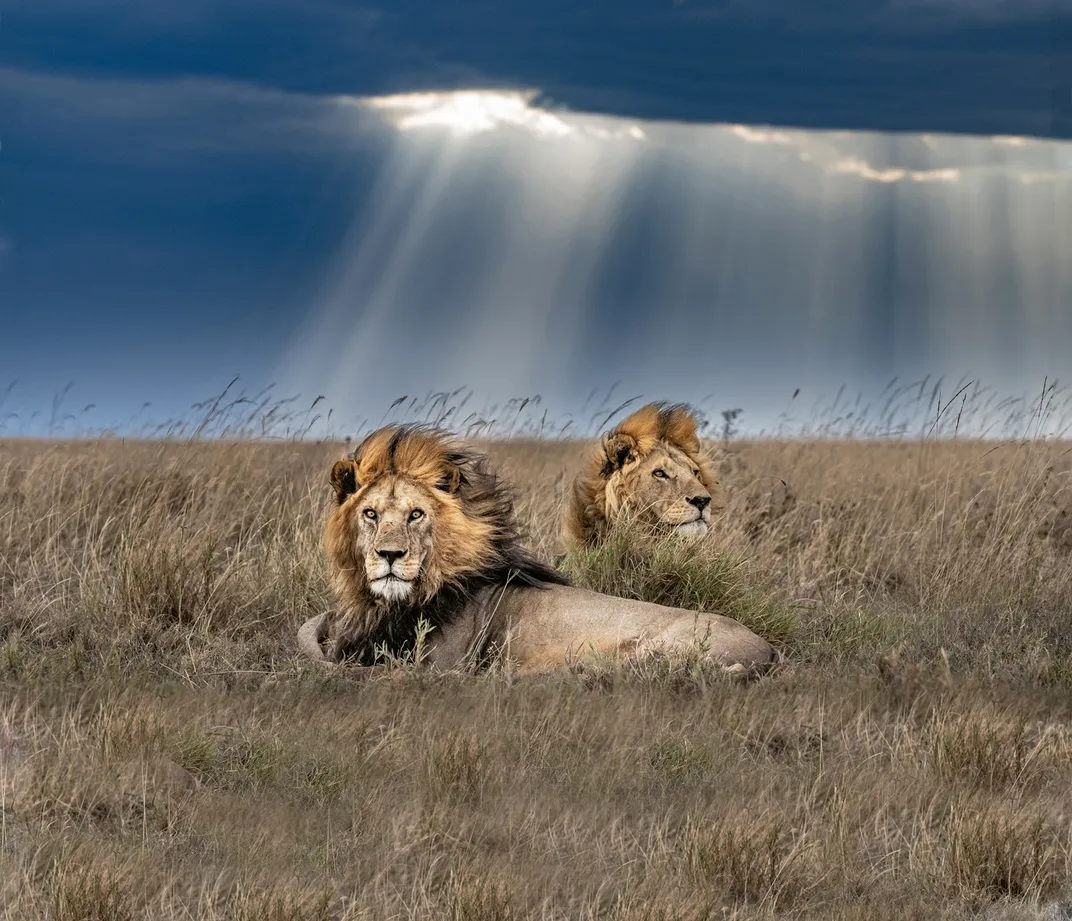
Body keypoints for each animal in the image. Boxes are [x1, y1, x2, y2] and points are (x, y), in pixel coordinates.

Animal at [297, 424, 775, 675]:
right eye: (371, 514)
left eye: (416, 514)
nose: (390, 556)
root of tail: (769, 650)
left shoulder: (440, 666)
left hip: (647, 651)